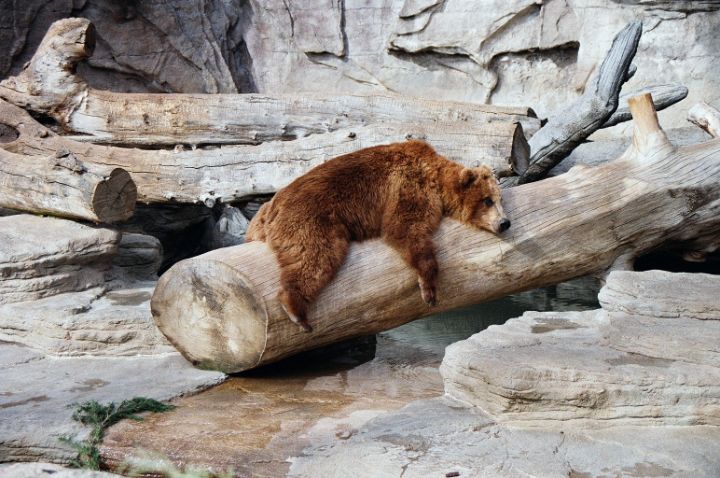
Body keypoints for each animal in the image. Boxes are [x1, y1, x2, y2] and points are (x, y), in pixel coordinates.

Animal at [245, 140, 510, 332]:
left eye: (500, 199)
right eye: (487, 200)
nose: (504, 223)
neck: (436, 178)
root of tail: (273, 207)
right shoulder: (409, 185)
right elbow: (404, 228)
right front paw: (429, 289)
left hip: (261, 224)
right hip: (312, 219)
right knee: (317, 256)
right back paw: (297, 311)